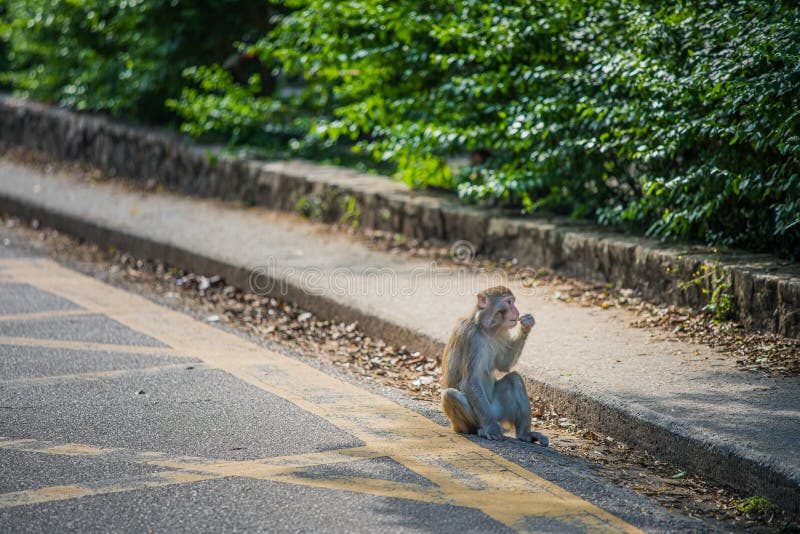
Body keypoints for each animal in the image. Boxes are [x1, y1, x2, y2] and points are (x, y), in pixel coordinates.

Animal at [441, 286, 548, 446]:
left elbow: (504, 364)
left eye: (513, 301)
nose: (517, 312)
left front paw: (527, 324)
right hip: (477, 416)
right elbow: (470, 381)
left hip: (497, 410)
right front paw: (491, 429)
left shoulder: (501, 333)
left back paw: (525, 435)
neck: (485, 328)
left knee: (515, 379)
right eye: (509, 302)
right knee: (450, 395)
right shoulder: (471, 338)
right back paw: (479, 429)